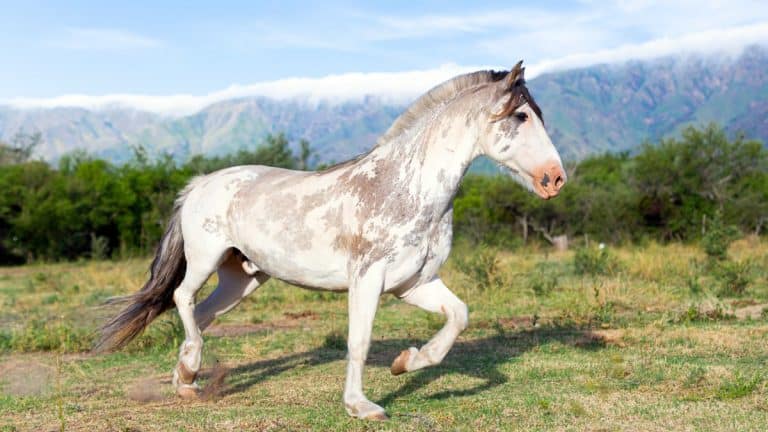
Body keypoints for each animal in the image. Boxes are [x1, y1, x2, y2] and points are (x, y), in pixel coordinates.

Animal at [97, 60, 566, 420]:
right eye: (521, 117)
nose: (555, 178)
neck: (405, 187)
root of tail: (199, 184)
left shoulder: (413, 284)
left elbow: (458, 316)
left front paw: (405, 363)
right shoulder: (368, 279)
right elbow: (359, 340)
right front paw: (362, 406)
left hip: (242, 278)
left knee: (202, 312)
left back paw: (186, 380)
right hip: (205, 258)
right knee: (182, 297)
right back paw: (191, 365)